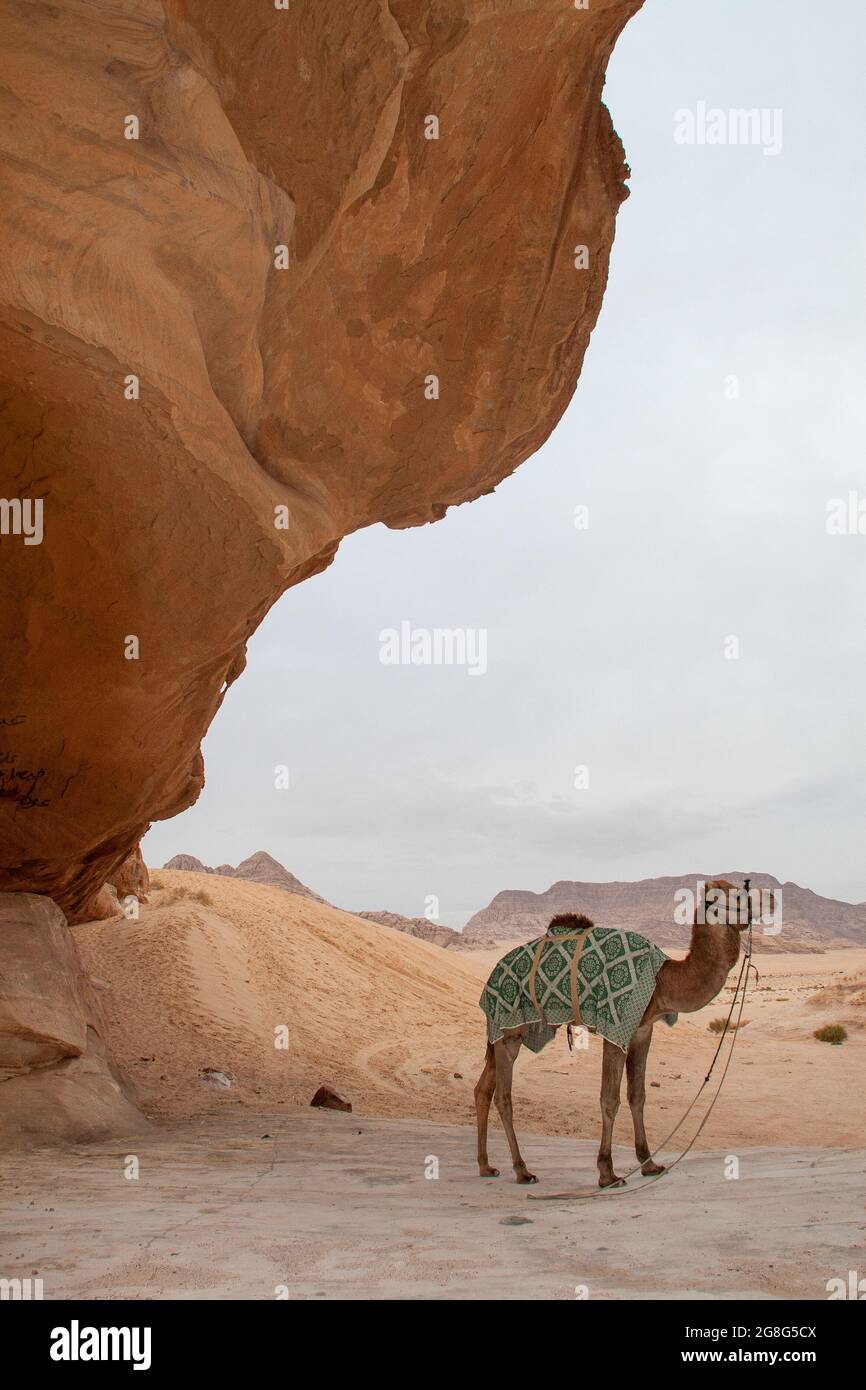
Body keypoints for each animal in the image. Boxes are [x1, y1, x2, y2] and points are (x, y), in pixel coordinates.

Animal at [474, 879, 768, 1187]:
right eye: (737, 894)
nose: (768, 900)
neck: (662, 980)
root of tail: (490, 979)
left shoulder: (642, 1030)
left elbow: (637, 1095)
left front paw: (649, 1163)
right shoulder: (614, 1028)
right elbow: (609, 1098)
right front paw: (607, 1173)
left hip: (503, 1035)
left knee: (483, 1089)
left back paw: (486, 1166)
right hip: (510, 1028)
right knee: (503, 1096)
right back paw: (522, 1170)